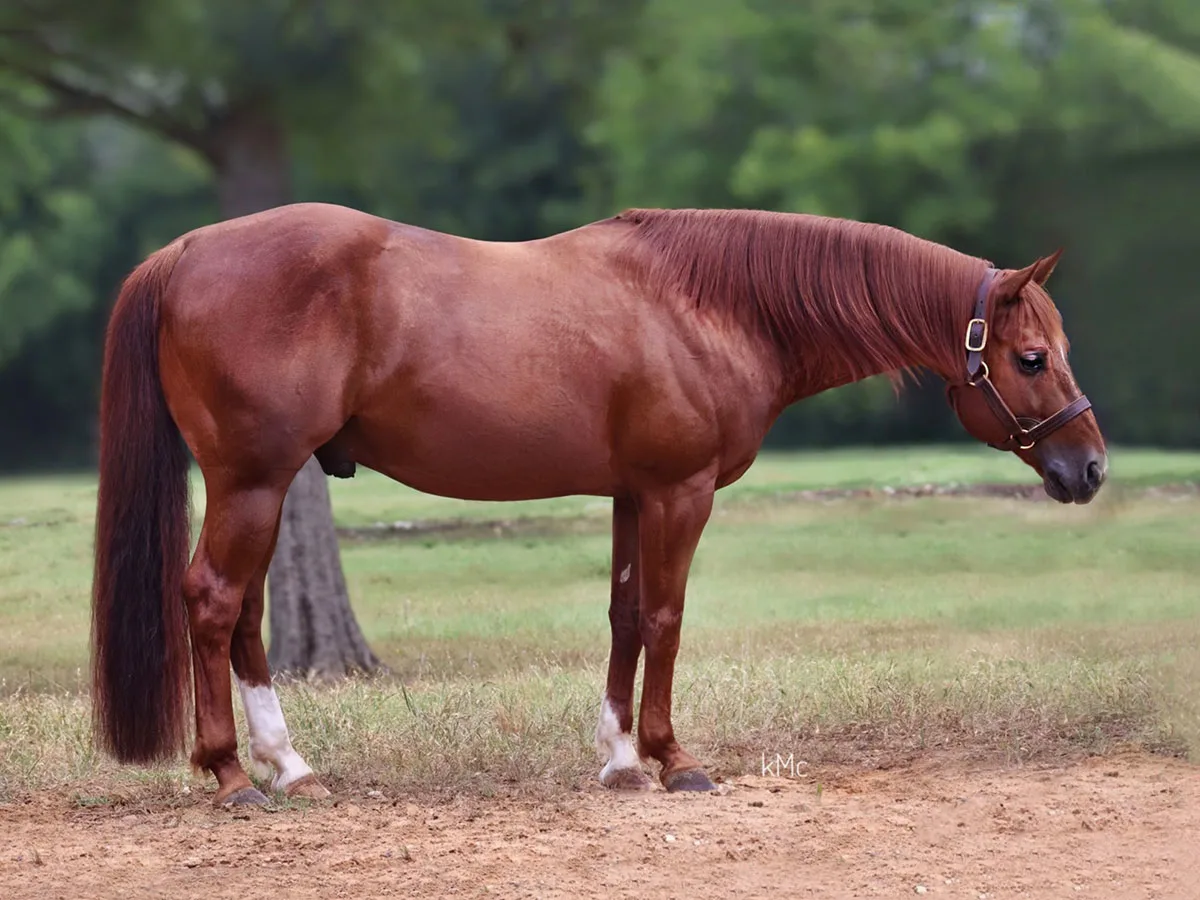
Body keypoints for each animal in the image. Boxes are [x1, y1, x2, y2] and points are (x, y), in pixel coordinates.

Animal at [90, 203, 1106, 805]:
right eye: (1030, 358)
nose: (1090, 468)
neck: (707, 306)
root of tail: (186, 251)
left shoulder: (631, 493)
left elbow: (623, 616)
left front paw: (618, 758)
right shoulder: (678, 493)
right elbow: (665, 617)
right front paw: (673, 759)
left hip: (261, 486)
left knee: (243, 617)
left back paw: (288, 765)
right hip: (253, 481)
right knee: (214, 603)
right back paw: (231, 774)